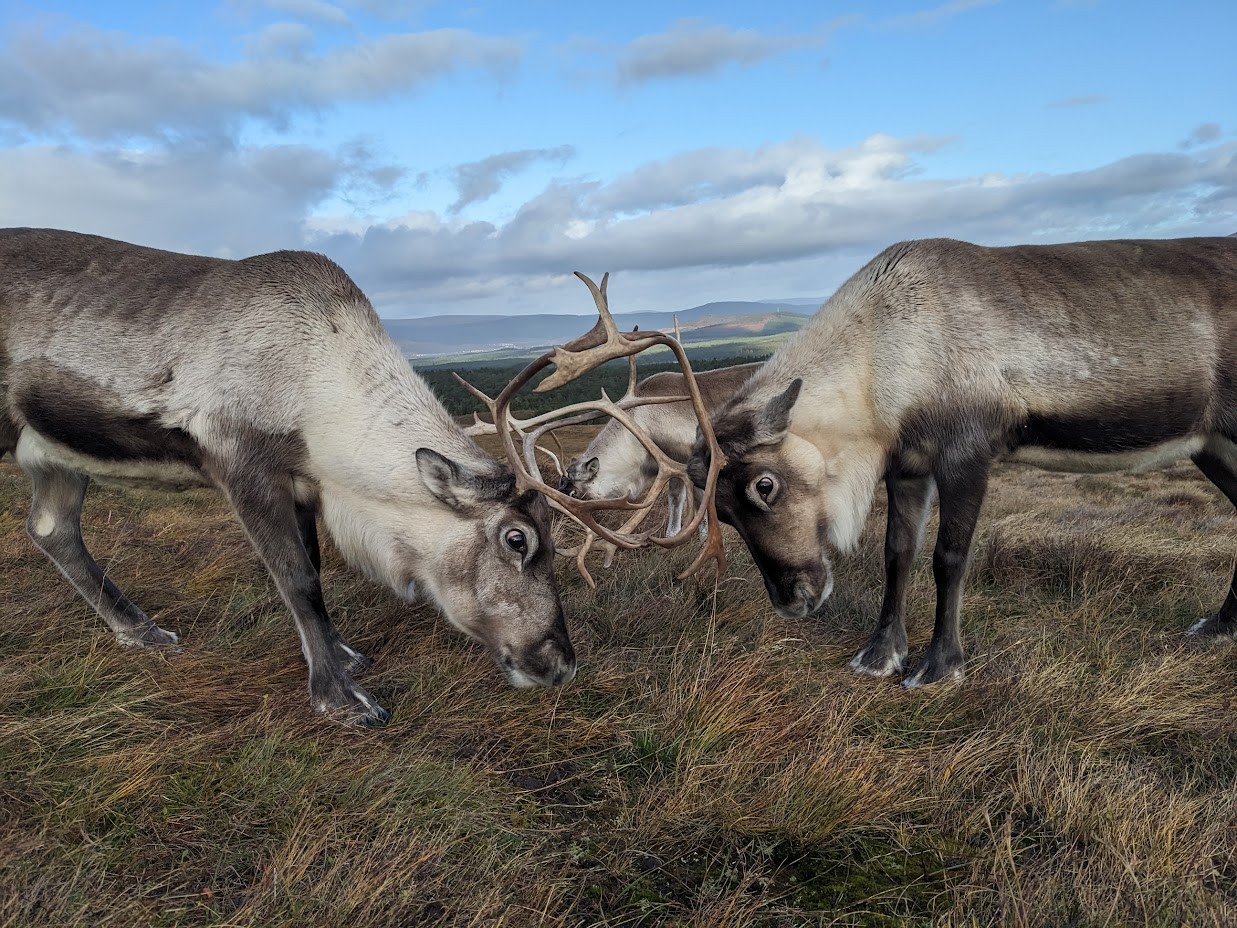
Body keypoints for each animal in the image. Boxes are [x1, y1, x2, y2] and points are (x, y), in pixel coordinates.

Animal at [0, 227, 580, 724]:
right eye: (517, 539)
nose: (561, 665)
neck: (321, 389)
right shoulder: (244, 468)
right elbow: (297, 577)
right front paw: (340, 697)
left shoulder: (303, 485)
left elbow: (316, 569)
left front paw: (343, 654)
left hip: (53, 453)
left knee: (51, 528)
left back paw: (141, 631)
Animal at [686, 236, 1237, 688]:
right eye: (721, 512)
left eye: (764, 484)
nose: (791, 599)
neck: (879, 364)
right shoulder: (908, 466)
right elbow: (897, 553)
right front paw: (879, 655)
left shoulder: (967, 455)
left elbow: (948, 558)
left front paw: (940, 666)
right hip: (1212, 446)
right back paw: (1219, 626)